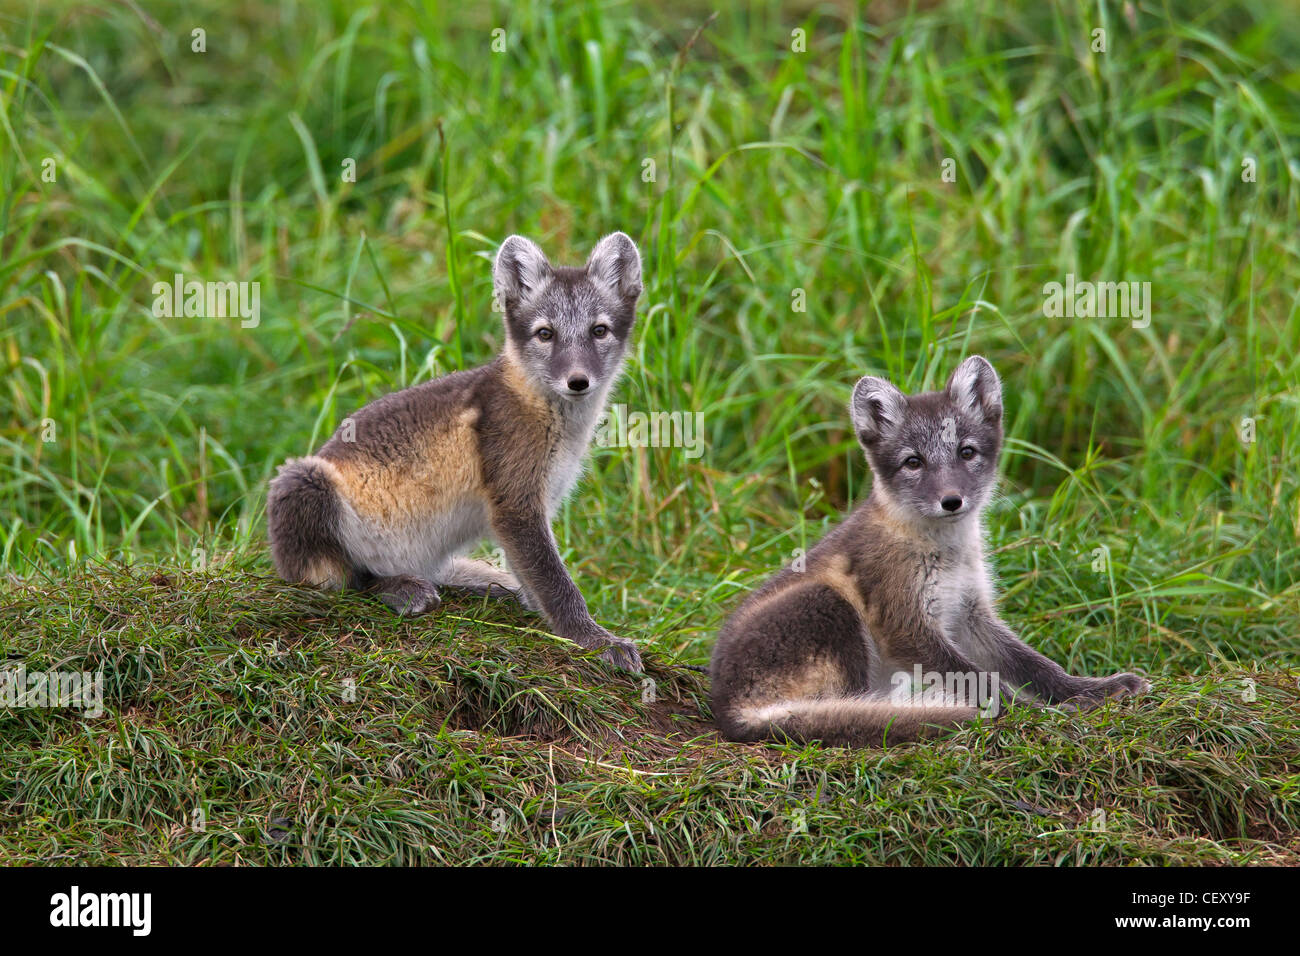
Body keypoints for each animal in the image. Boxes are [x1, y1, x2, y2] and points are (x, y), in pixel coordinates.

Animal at [266, 232, 643, 672]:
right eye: (545, 334)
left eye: (599, 330)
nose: (578, 381)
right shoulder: (515, 504)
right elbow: (556, 584)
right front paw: (597, 640)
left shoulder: (534, 506)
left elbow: (533, 575)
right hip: (304, 482)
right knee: (345, 579)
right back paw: (401, 588)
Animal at [709, 356, 1149, 747]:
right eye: (913, 462)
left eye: (966, 452)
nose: (951, 501)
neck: (948, 551)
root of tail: (728, 712)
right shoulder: (905, 626)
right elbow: (983, 682)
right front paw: (1035, 713)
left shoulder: (971, 612)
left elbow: (1035, 665)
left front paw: (1092, 689)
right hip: (825, 602)